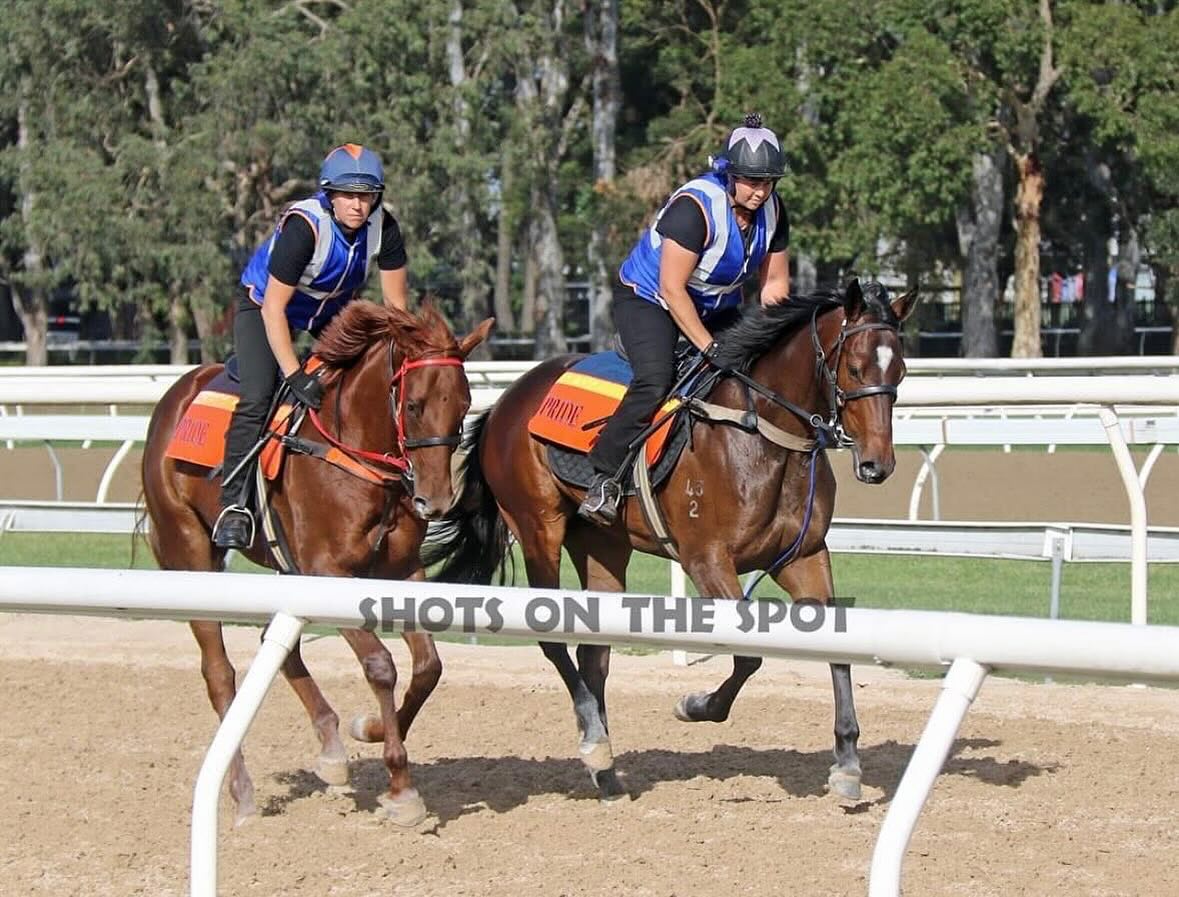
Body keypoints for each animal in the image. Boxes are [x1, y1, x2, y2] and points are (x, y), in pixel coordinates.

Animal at [142, 301, 493, 826]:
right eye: (413, 405)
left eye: (465, 404)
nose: (434, 501)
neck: (359, 458)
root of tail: (173, 400)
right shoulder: (329, 572)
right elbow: (380, 665)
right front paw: (401, 786)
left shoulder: (401, 570)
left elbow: (429, 666)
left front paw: (371, 731)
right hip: (189, 552)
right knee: (219, 673)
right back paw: (243, 794)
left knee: (278, 647)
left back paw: (330, 751)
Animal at [427, 280, 917, 802]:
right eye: (856, 367)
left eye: (900, 370)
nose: (877, 464)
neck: (763, 435)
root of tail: (506, 400)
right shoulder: (707, 560)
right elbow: (747, 654)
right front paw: (696, 704)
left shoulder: (804, 556)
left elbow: (836, 648)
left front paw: (846, 764)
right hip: (538, 527)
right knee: (554, 638)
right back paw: (594, 744)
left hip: (602, 543)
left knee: (593, 651)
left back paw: (606, 770)